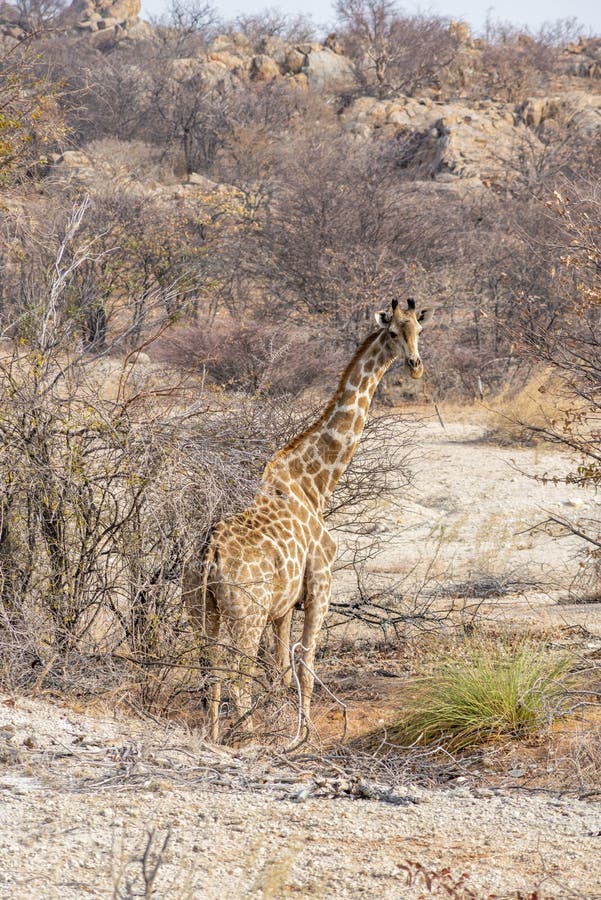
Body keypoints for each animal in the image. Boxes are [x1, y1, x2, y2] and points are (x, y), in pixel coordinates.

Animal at [184, 297, 432, 743]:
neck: (313, 483)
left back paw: (215, 738)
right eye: (392, 333)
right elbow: (306, 665)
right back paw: (247, 740)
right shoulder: (320, 584)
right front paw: (301, 735)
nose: (415, 364)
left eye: (419, 330)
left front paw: (283, 725)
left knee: (210, 671)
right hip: (245, 614)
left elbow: (280, 670)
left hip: (200, 608)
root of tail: (209, 553)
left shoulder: (282, 608)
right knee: (238, 675)